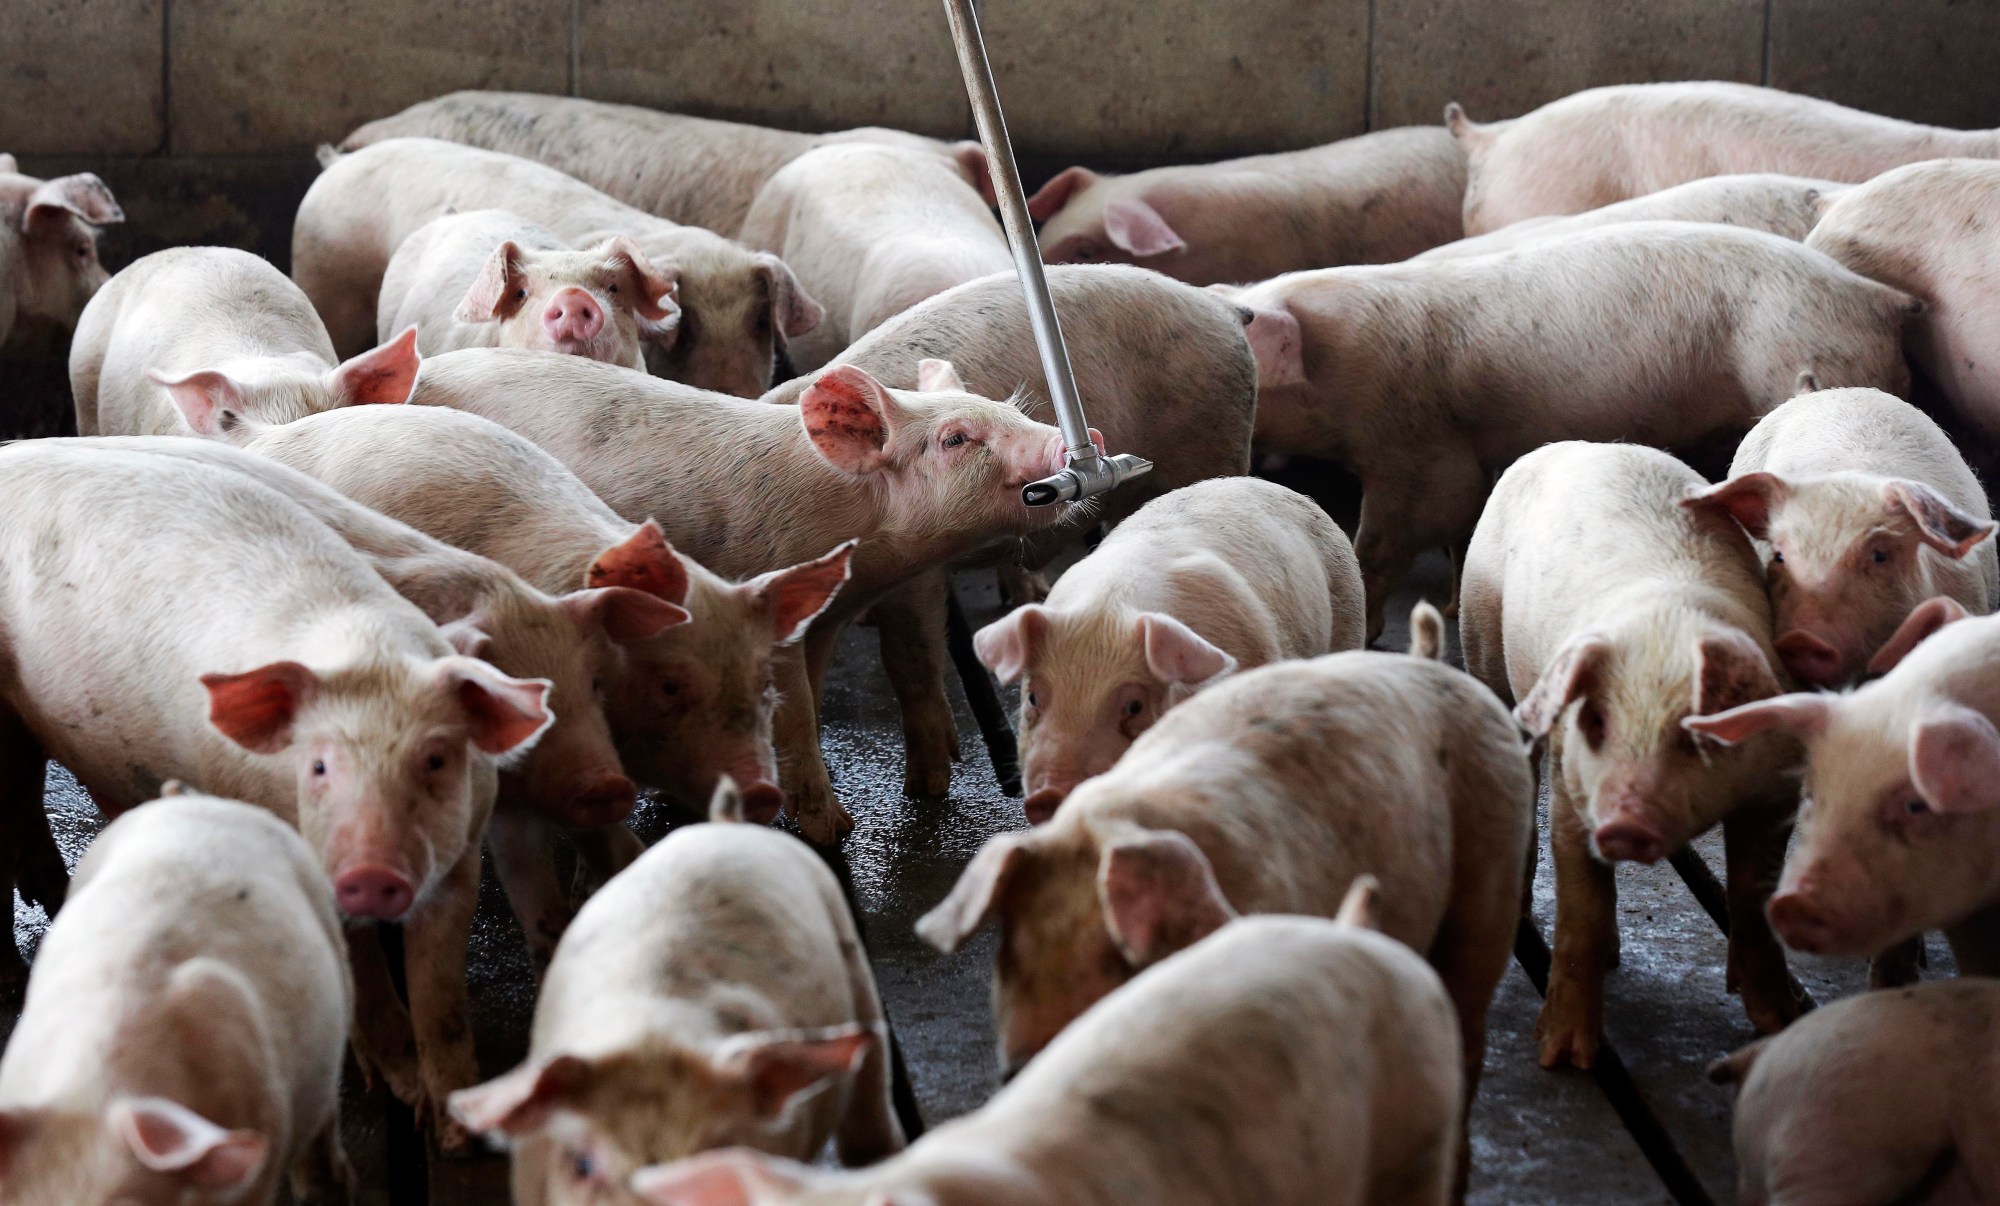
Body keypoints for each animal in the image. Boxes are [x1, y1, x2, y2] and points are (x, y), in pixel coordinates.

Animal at [0, 443, 553, 1150]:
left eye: (434, 759)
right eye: (317, 765)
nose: (373, 873)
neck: (364, 653)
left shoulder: (459, 857)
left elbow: (440, 995)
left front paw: (456, 1132)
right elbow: (363, 981)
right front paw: (398, 1089)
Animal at [409, 349, 1082, 843]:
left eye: (1007, 409)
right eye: (956, 438)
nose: (1065, 441)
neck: (861, 546)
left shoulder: (825, 618)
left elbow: (813, 691)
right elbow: (798, 711)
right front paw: (833, 829)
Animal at [1230, 221, 1918, 639]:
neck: (1339, 365)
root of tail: (1879, 298)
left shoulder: (1415, 444)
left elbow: (1390, 536)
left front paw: (1374, 627)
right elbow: (1460, 531)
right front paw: (1453, 602)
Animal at [1459, 441, 1806, 1071]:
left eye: (1694, 733)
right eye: (1597, 720)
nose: (1623, 824)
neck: (1661, 630)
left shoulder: (1774, 792)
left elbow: (1752, 902)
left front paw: (1778, 1021)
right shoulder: (1573, 789)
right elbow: (1582, 912)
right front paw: (1564, 1060)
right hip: (1482, 638)